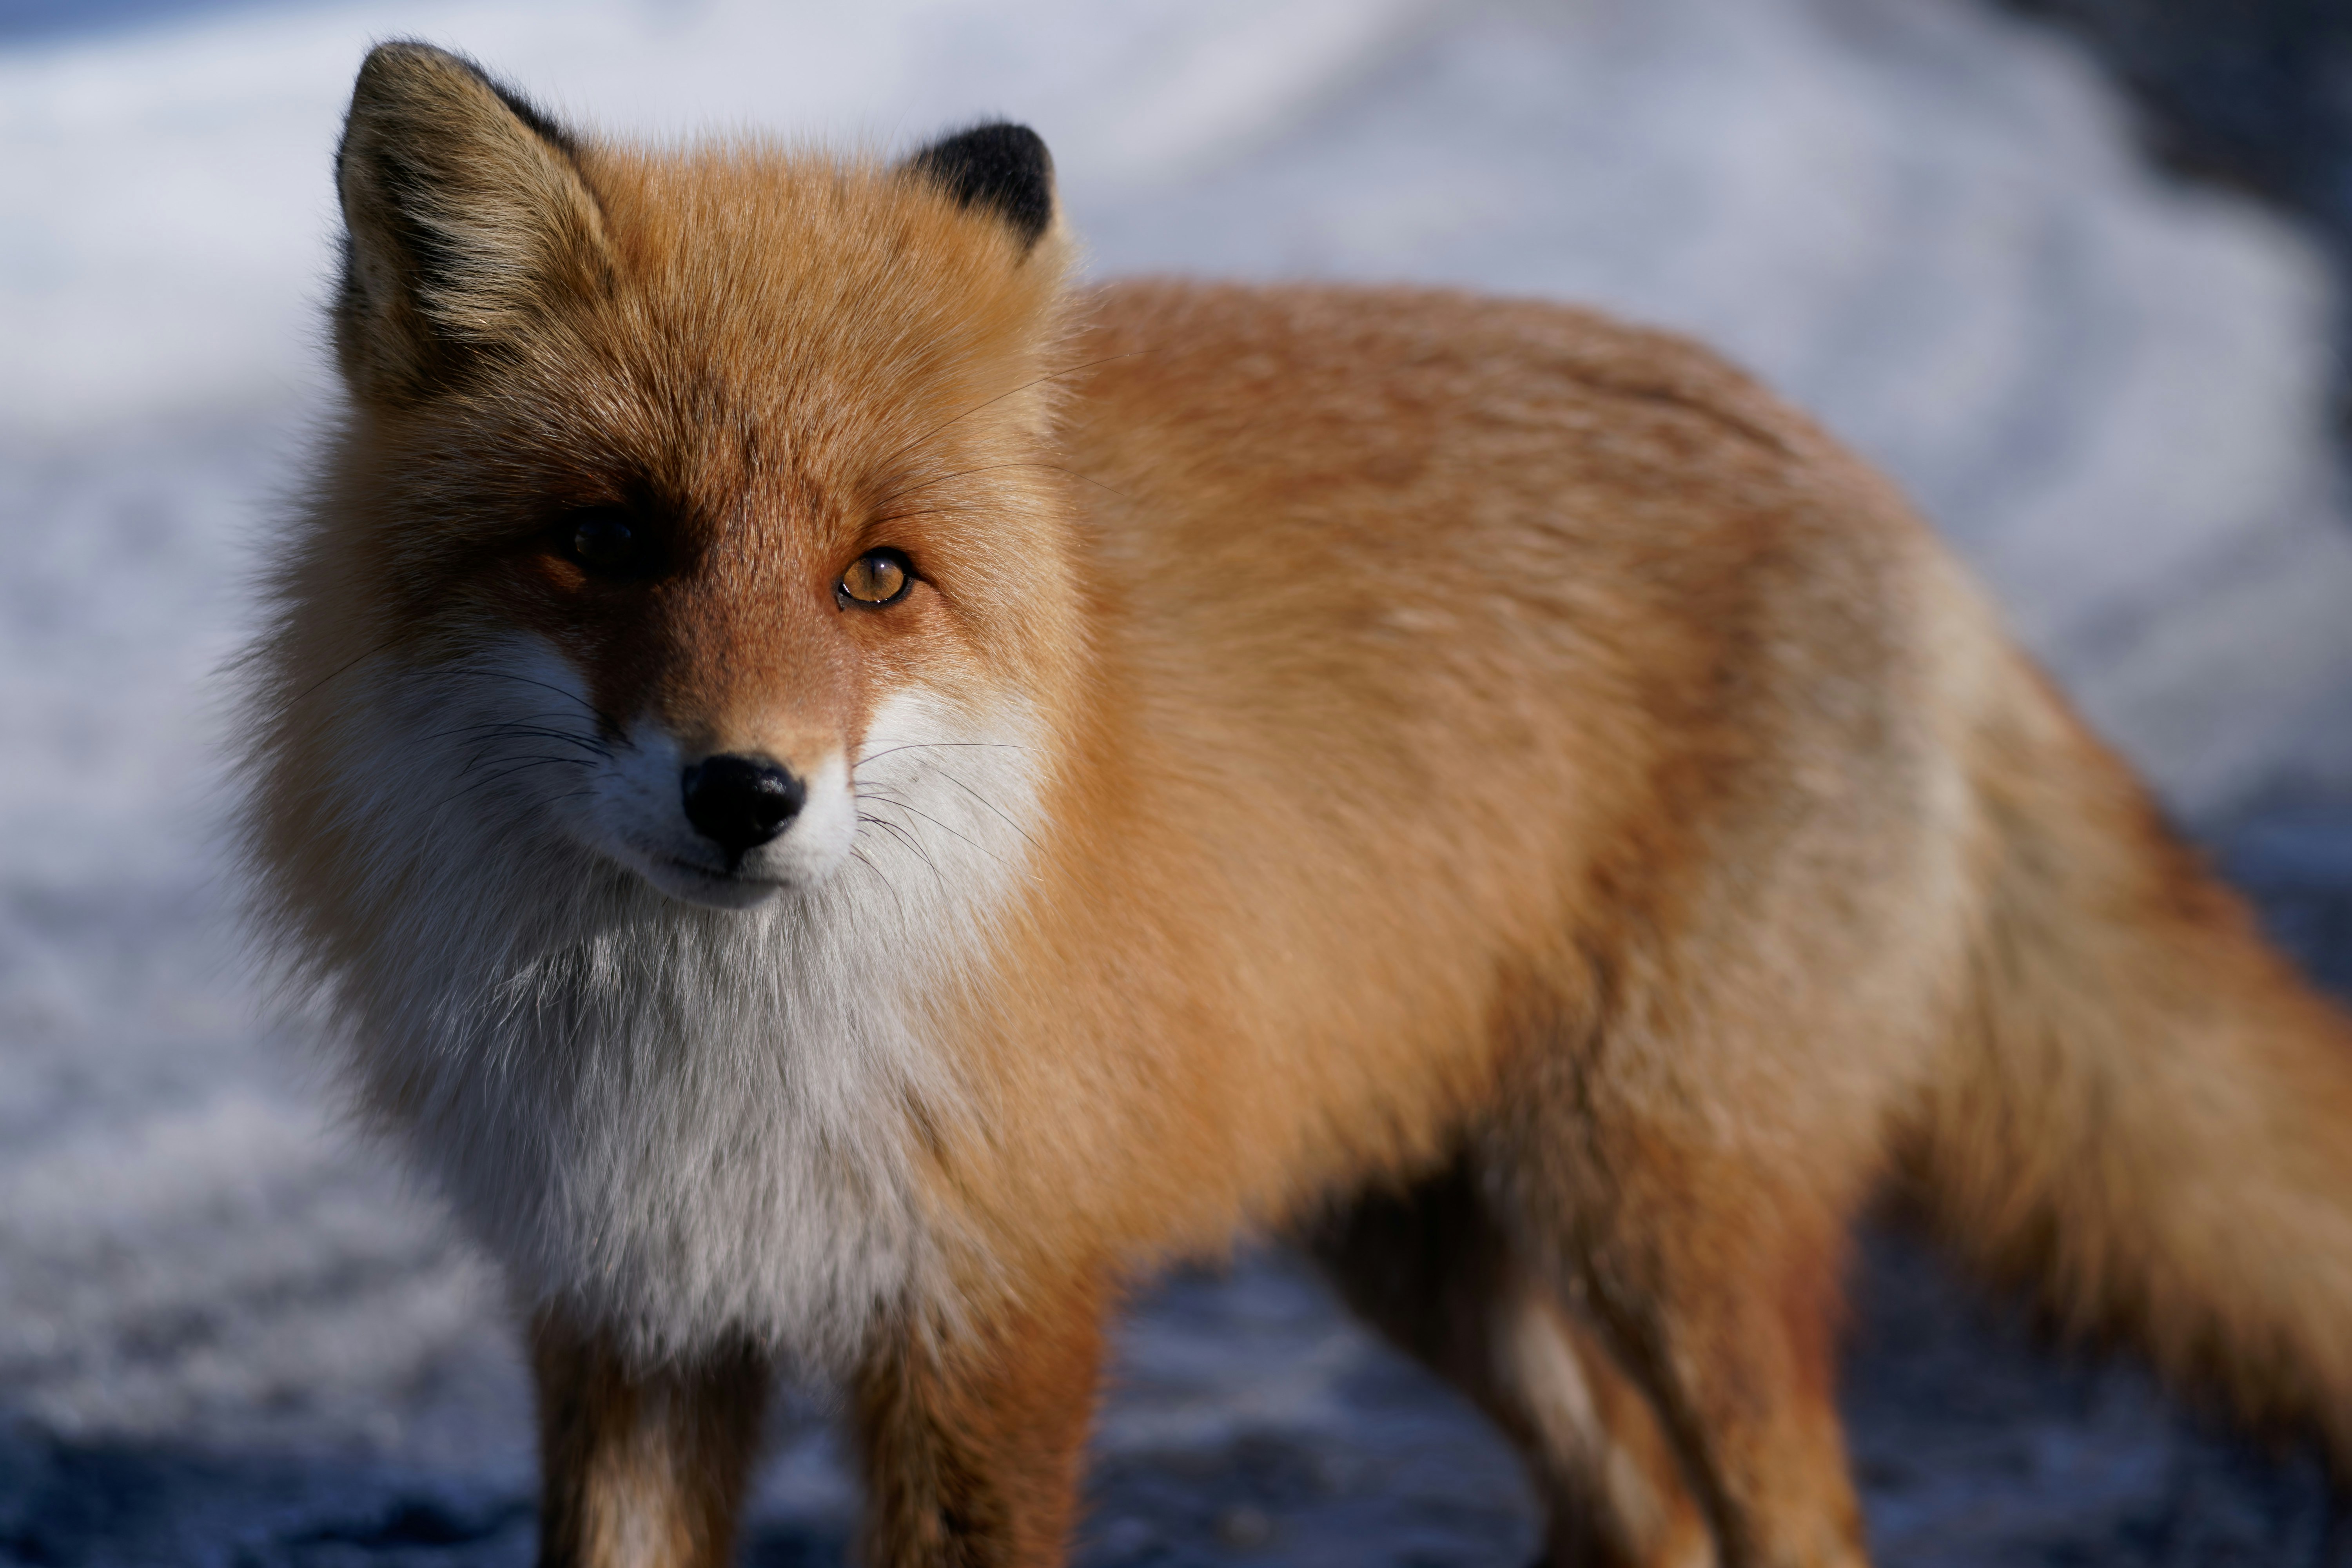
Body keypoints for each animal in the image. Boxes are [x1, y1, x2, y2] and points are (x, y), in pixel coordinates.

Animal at [233, 38, 2352, 1568]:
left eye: (877, 578)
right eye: (607, 540)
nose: (748, 791)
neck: (713, 1051)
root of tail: (1880, 493)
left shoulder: (996, 1313)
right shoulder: (637, 1315)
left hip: (1660, 1212)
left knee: (1785, 1516)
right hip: (1422, 1241)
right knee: (1641, 1510)